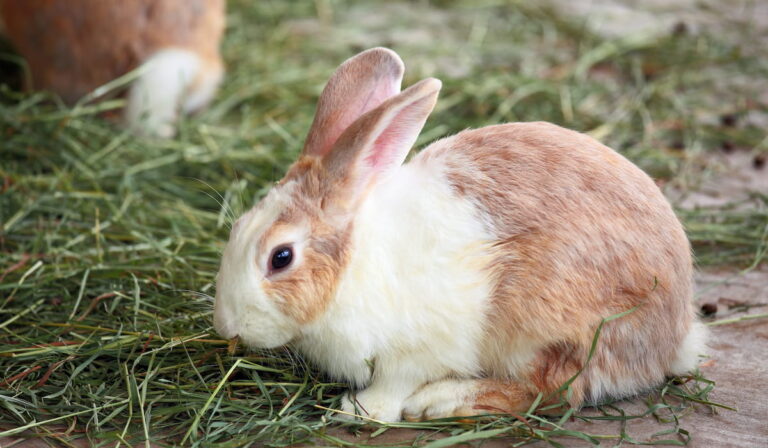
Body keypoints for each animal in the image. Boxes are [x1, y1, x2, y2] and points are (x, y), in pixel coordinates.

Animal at [213, 47, 707, 422]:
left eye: (281, 257)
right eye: (236, 229)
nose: (226, 326)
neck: (354, 265)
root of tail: (673, 336)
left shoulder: (416, 350)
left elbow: (394, 385)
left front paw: (359, 410)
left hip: (550, 328)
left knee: (553, 391)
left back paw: (441, 402)